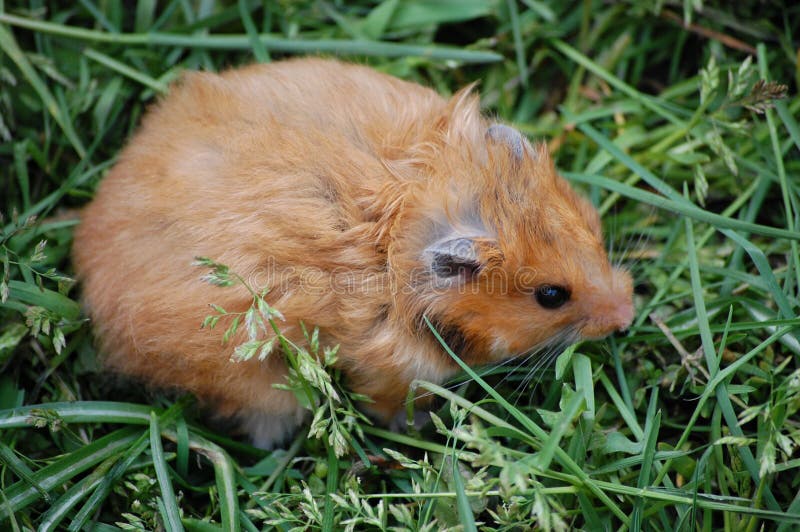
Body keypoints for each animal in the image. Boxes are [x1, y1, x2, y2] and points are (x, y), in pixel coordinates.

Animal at [72, 58, 634, 448]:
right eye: (551, 296)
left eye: (592, 229)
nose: (628, 314)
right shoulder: (390, 367)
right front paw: (420, 427)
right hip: (248, 377)